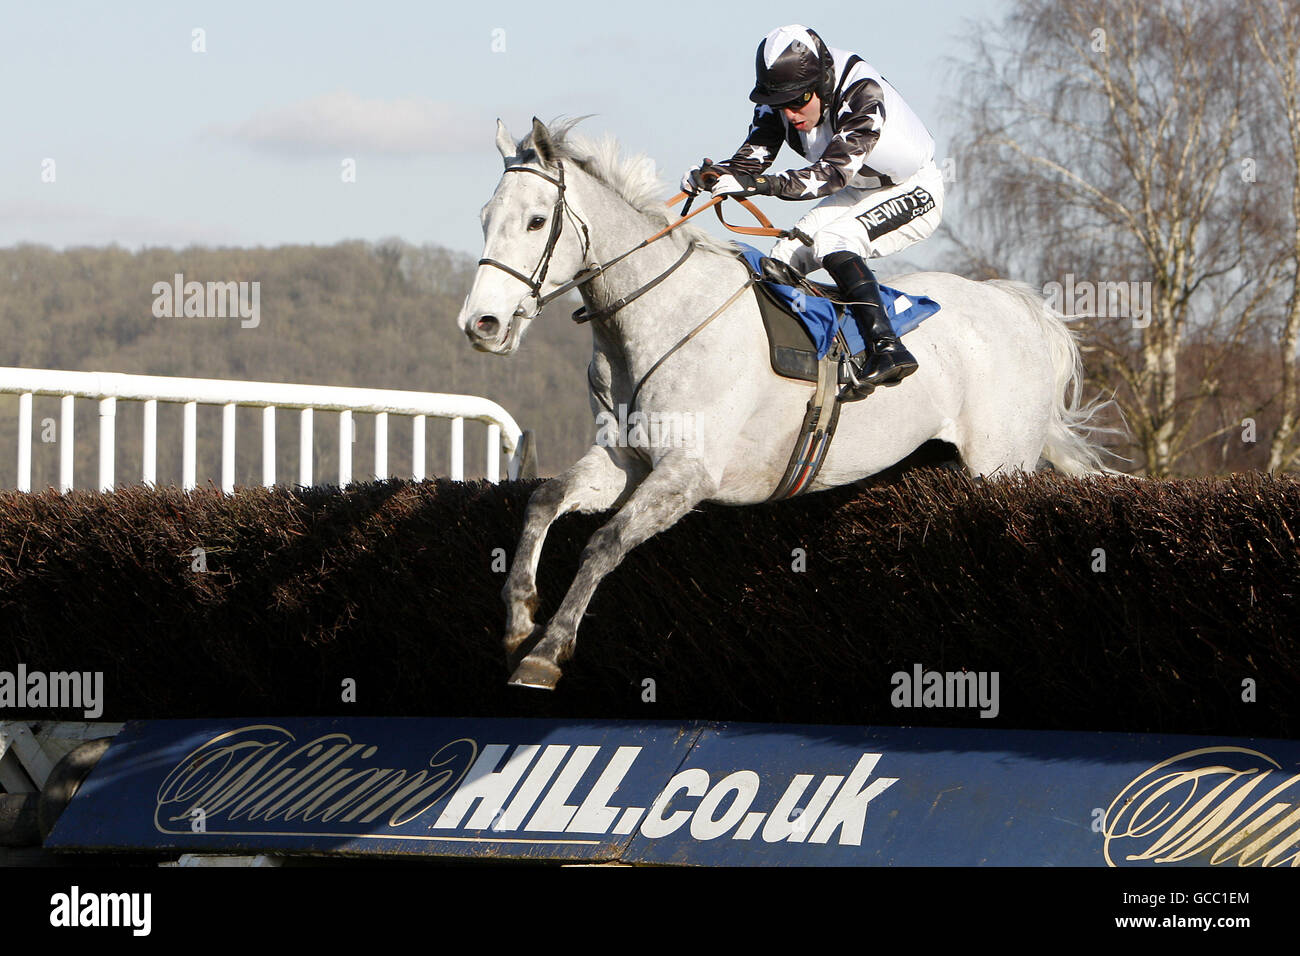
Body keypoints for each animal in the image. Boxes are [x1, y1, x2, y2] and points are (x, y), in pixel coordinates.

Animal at [457, 117, 1112, 690]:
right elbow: (543, 500)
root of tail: (1021, 305)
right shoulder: (626, 461)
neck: (658, 312)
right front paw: (518, 623)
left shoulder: (688, 473)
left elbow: (604, 544)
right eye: (484, 218)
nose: (481, 324)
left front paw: (545, 652)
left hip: (1000, 465)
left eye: (536, 221)